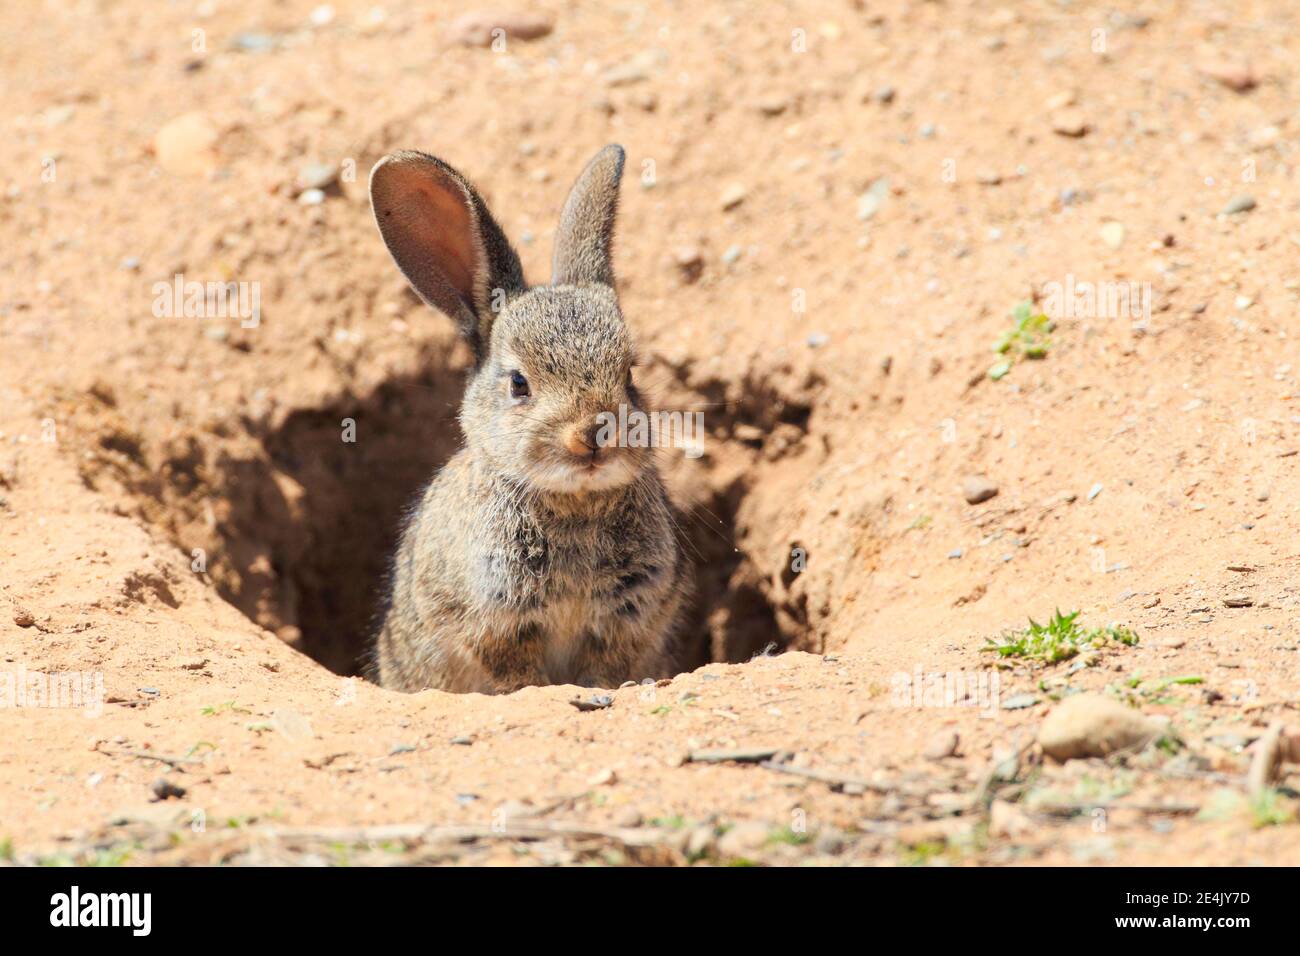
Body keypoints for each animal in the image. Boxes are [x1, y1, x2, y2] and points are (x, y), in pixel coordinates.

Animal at [367, 144, 690, 694]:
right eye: (519, 384)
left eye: (629, 374)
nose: (595, 433)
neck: (575, 502)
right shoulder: (491, 619)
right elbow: (518, 673)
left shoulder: (631, 613)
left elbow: (607, 668)